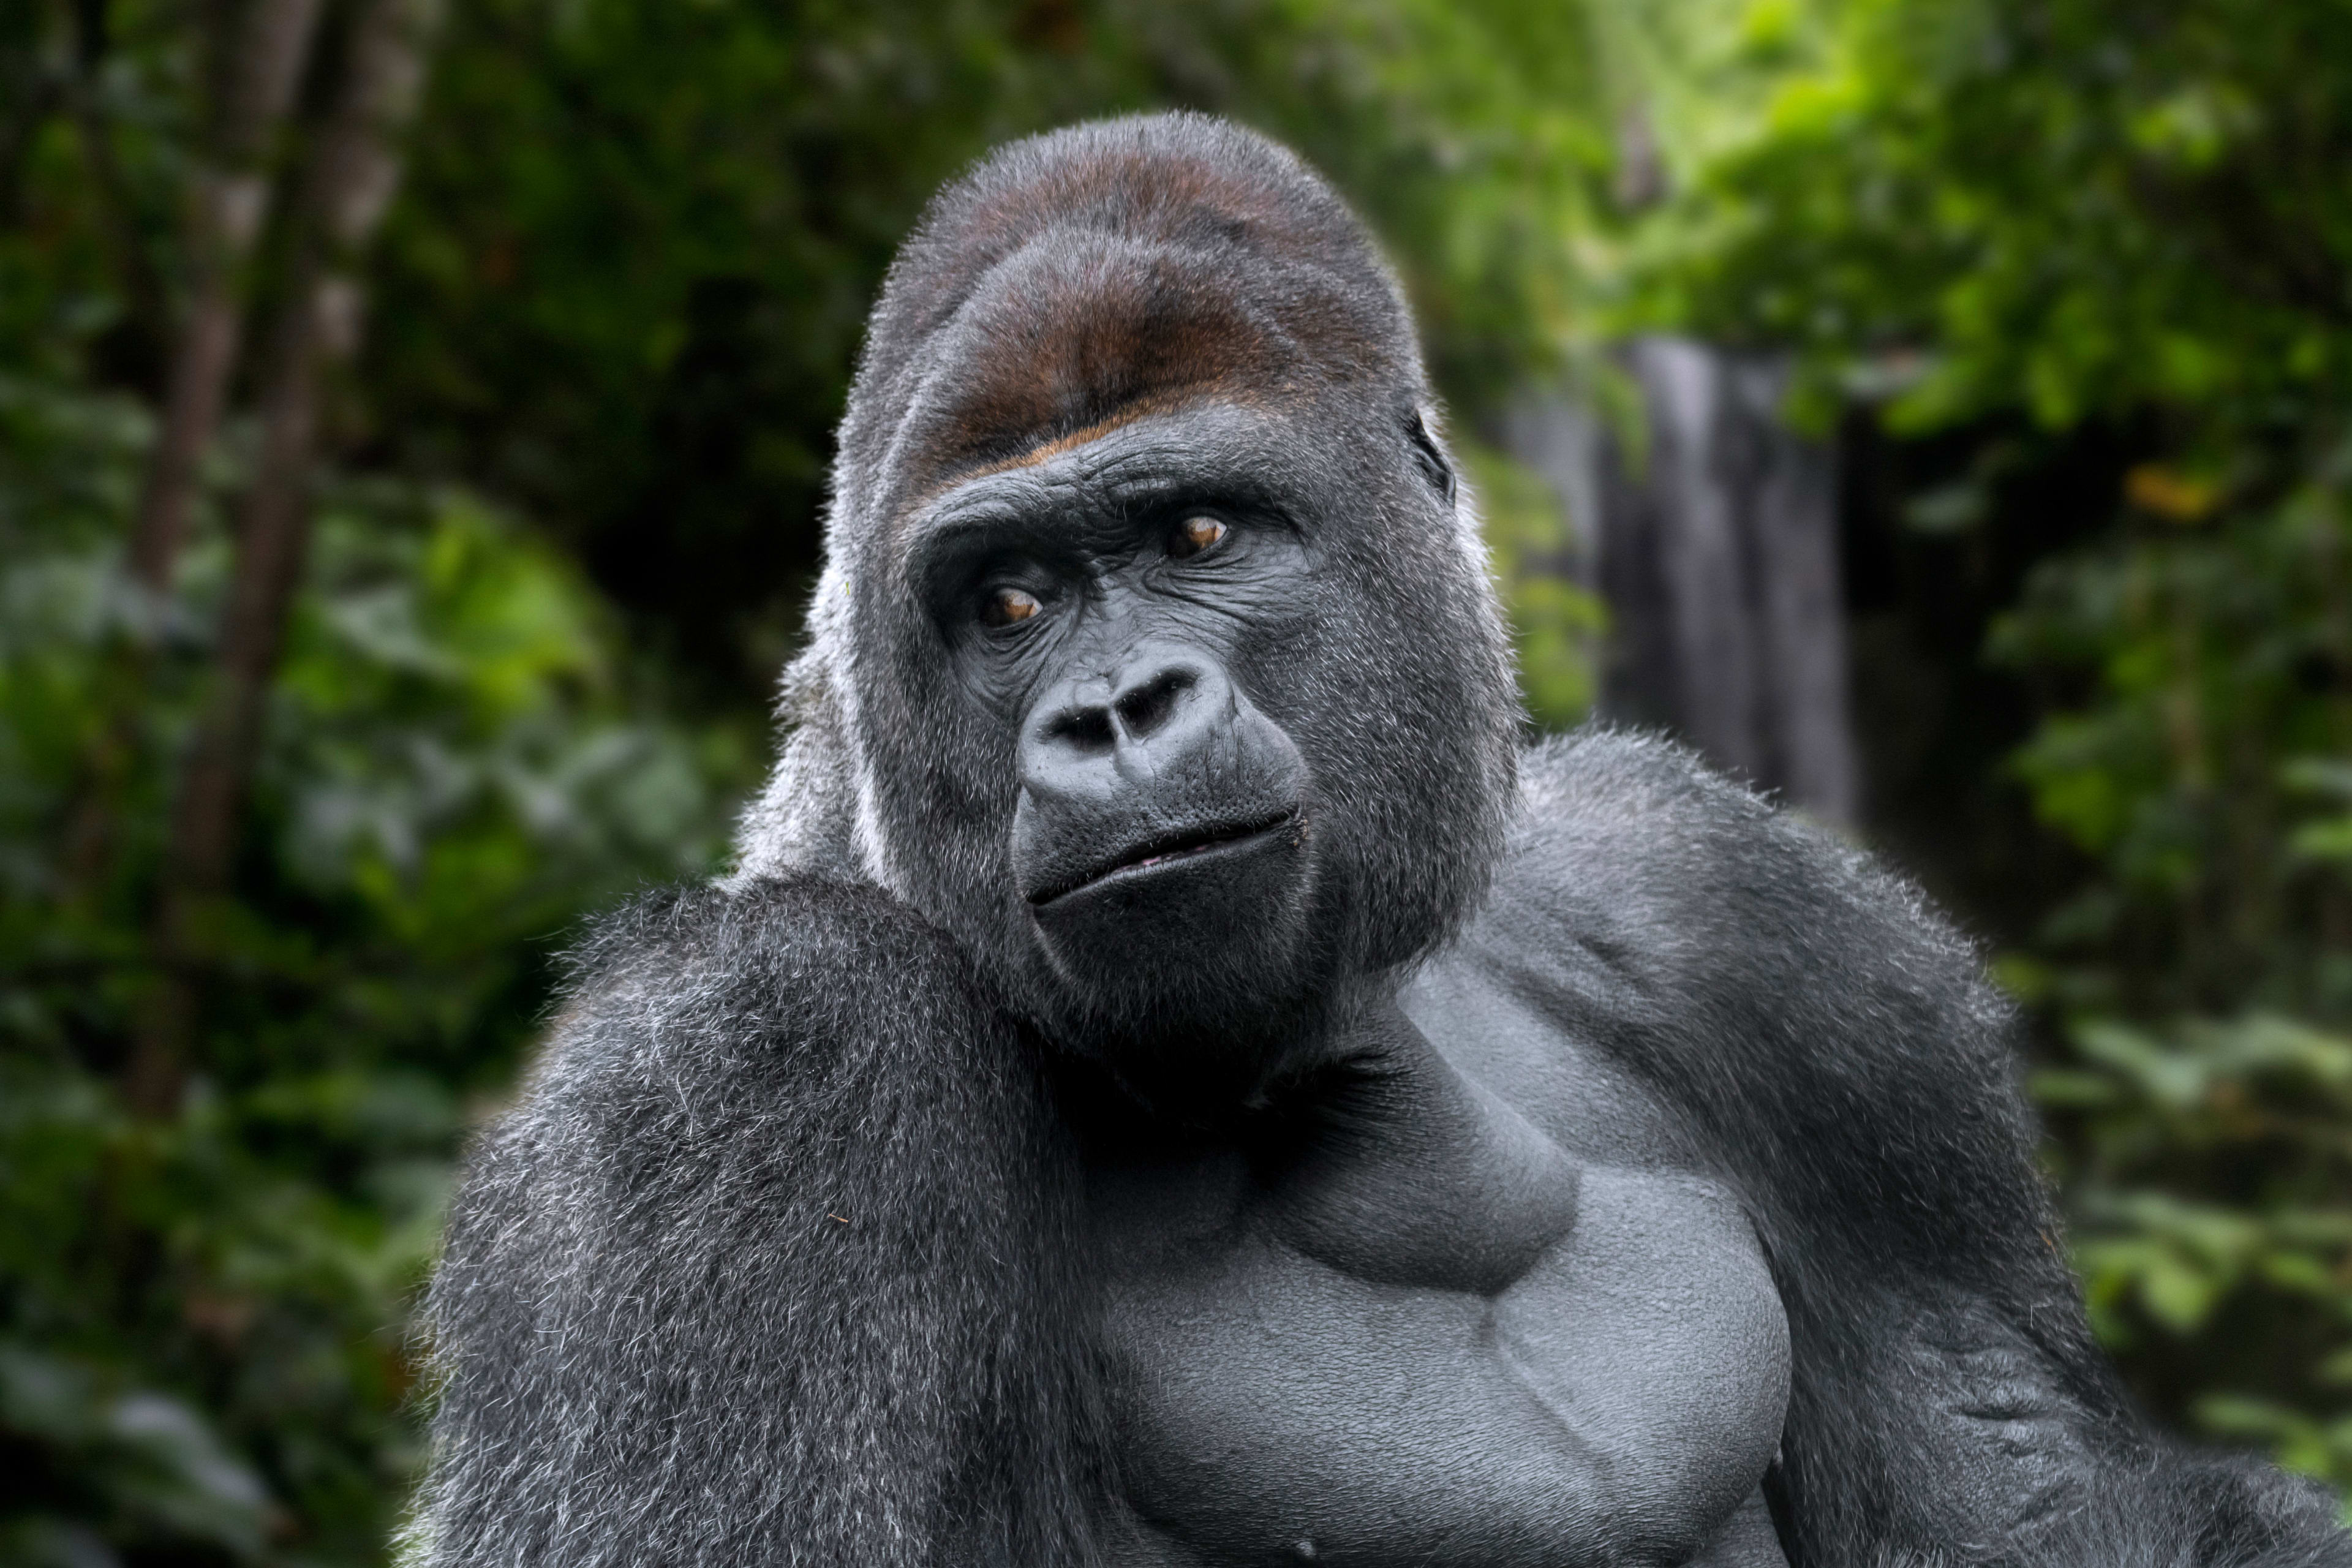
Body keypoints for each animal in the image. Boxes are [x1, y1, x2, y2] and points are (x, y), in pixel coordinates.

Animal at [405, 113, 2352, 1567]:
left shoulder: (1743, 924)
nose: (1112, 712)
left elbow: (2027, 1502)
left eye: (1198, 532)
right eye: (1008, 598)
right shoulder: (746, 1072)